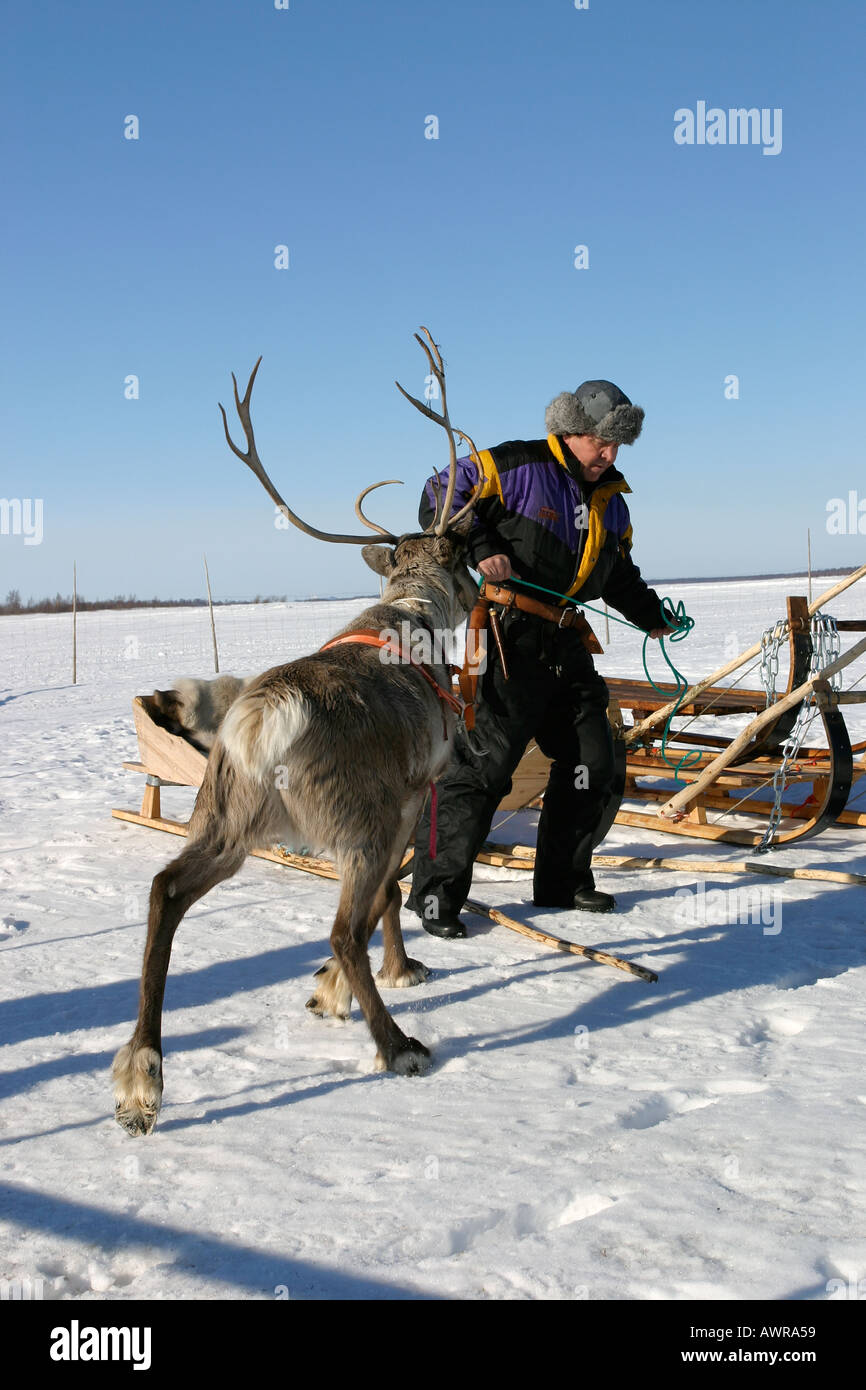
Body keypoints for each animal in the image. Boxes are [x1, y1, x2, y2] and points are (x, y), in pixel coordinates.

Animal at [112, 329, 484, 1135]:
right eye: (467, 561)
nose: (478, 591)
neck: (411, 609)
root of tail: (262, 718)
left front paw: (336, 988)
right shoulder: (411, 796)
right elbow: (387, 898)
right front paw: (379, 978)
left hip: (228, 821)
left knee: (164, 891)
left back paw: (141, 1079)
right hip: (351, 821)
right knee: (339, 927)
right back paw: (399, 1047)